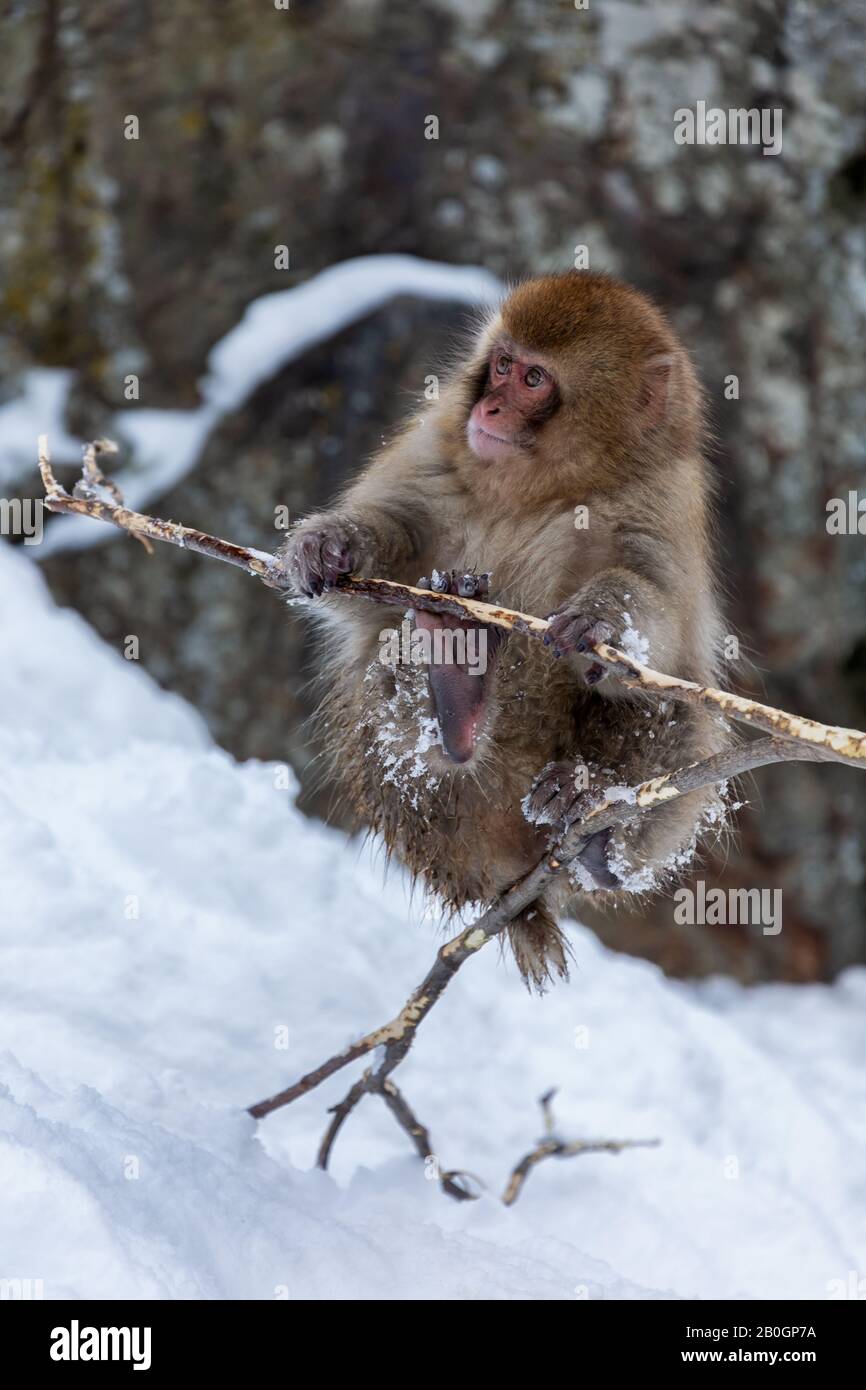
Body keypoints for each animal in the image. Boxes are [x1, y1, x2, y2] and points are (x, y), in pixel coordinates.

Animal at [281, 270, 729, 989]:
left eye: (534, 380)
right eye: (500, 365)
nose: (488, 410)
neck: (543, 488)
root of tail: (508, 881)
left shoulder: (663, 502)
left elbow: (657, 637)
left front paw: (605, 614)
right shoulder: (434, 444)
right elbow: (370, 596)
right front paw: (330, 542)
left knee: (678, 711)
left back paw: (593, 820)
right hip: (419, 813)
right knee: (389, 675)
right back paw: (455, 692)